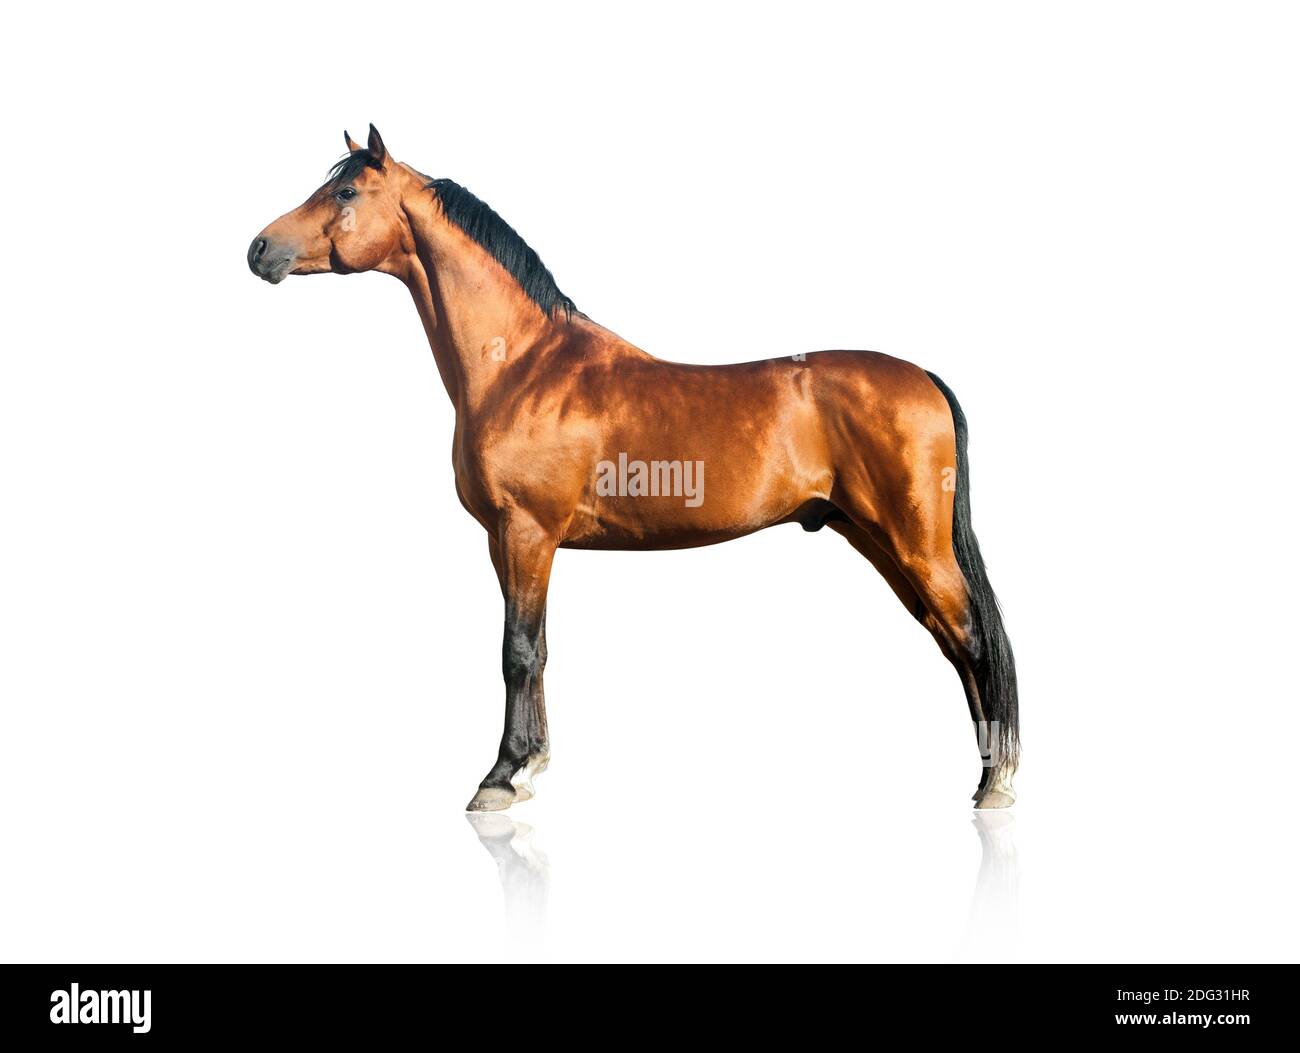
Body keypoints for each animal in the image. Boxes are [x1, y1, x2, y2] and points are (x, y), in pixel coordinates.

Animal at [248, 125, 1019, 812]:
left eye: (346, 190)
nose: (260, 249)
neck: (523, 366)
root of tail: (922, 377)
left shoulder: (527, 533)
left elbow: (517, 652)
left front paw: (500, 778)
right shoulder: (507, 542)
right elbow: (538, 649)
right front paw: (531, 766)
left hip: (913, 541)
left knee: (972, 638)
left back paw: (995, 786)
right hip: (877, 539)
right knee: (951, 641)